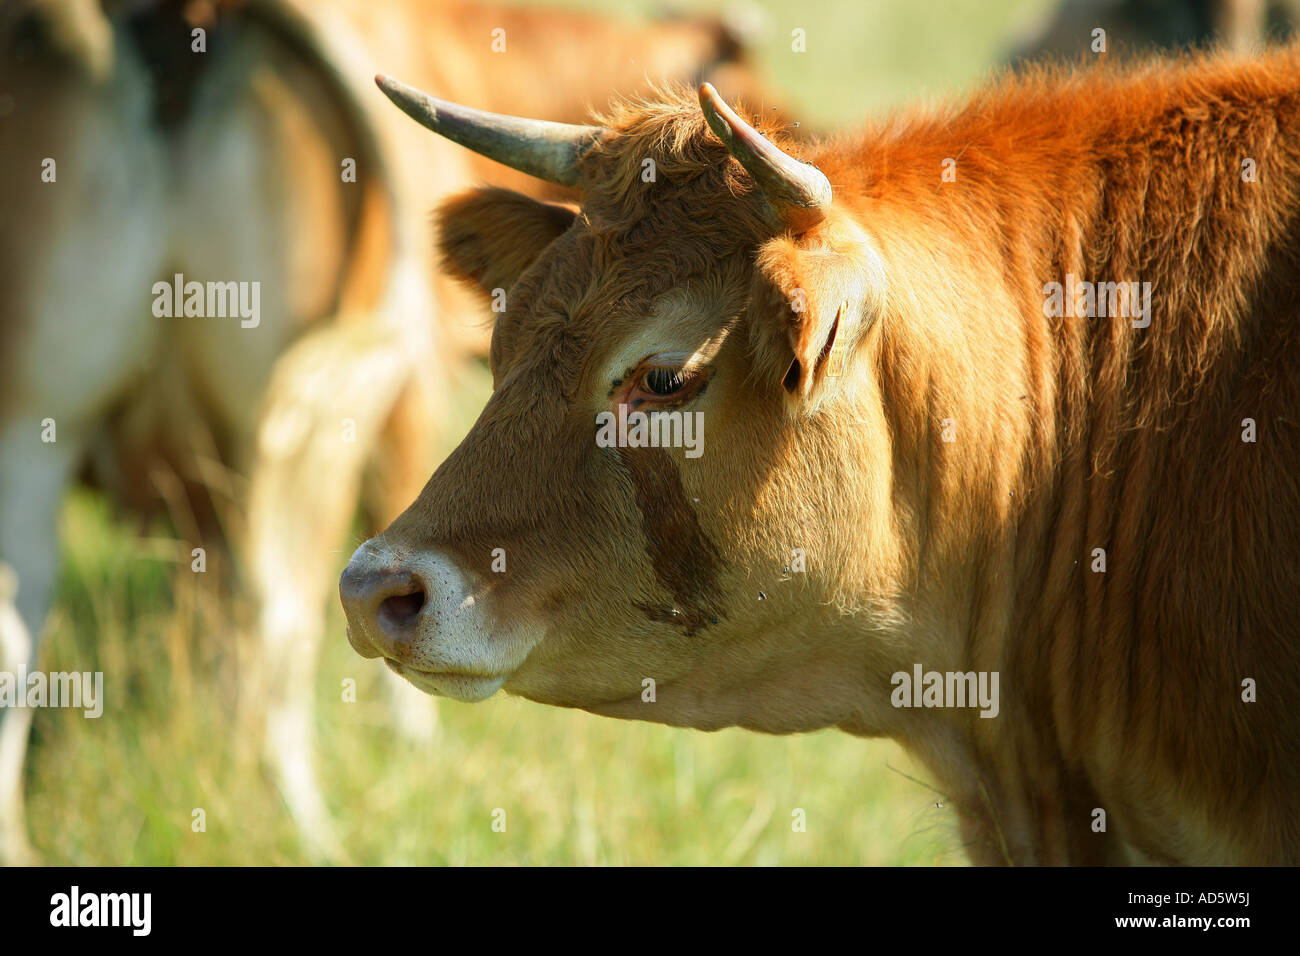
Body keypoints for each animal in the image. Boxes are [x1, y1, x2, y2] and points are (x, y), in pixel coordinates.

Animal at [0, 0, 773, 863]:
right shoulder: (406, 397)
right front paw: (414, 742)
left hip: (36, 423)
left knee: (21, 623)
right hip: (303, 423)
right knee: (283, 607)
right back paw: (302, 823)